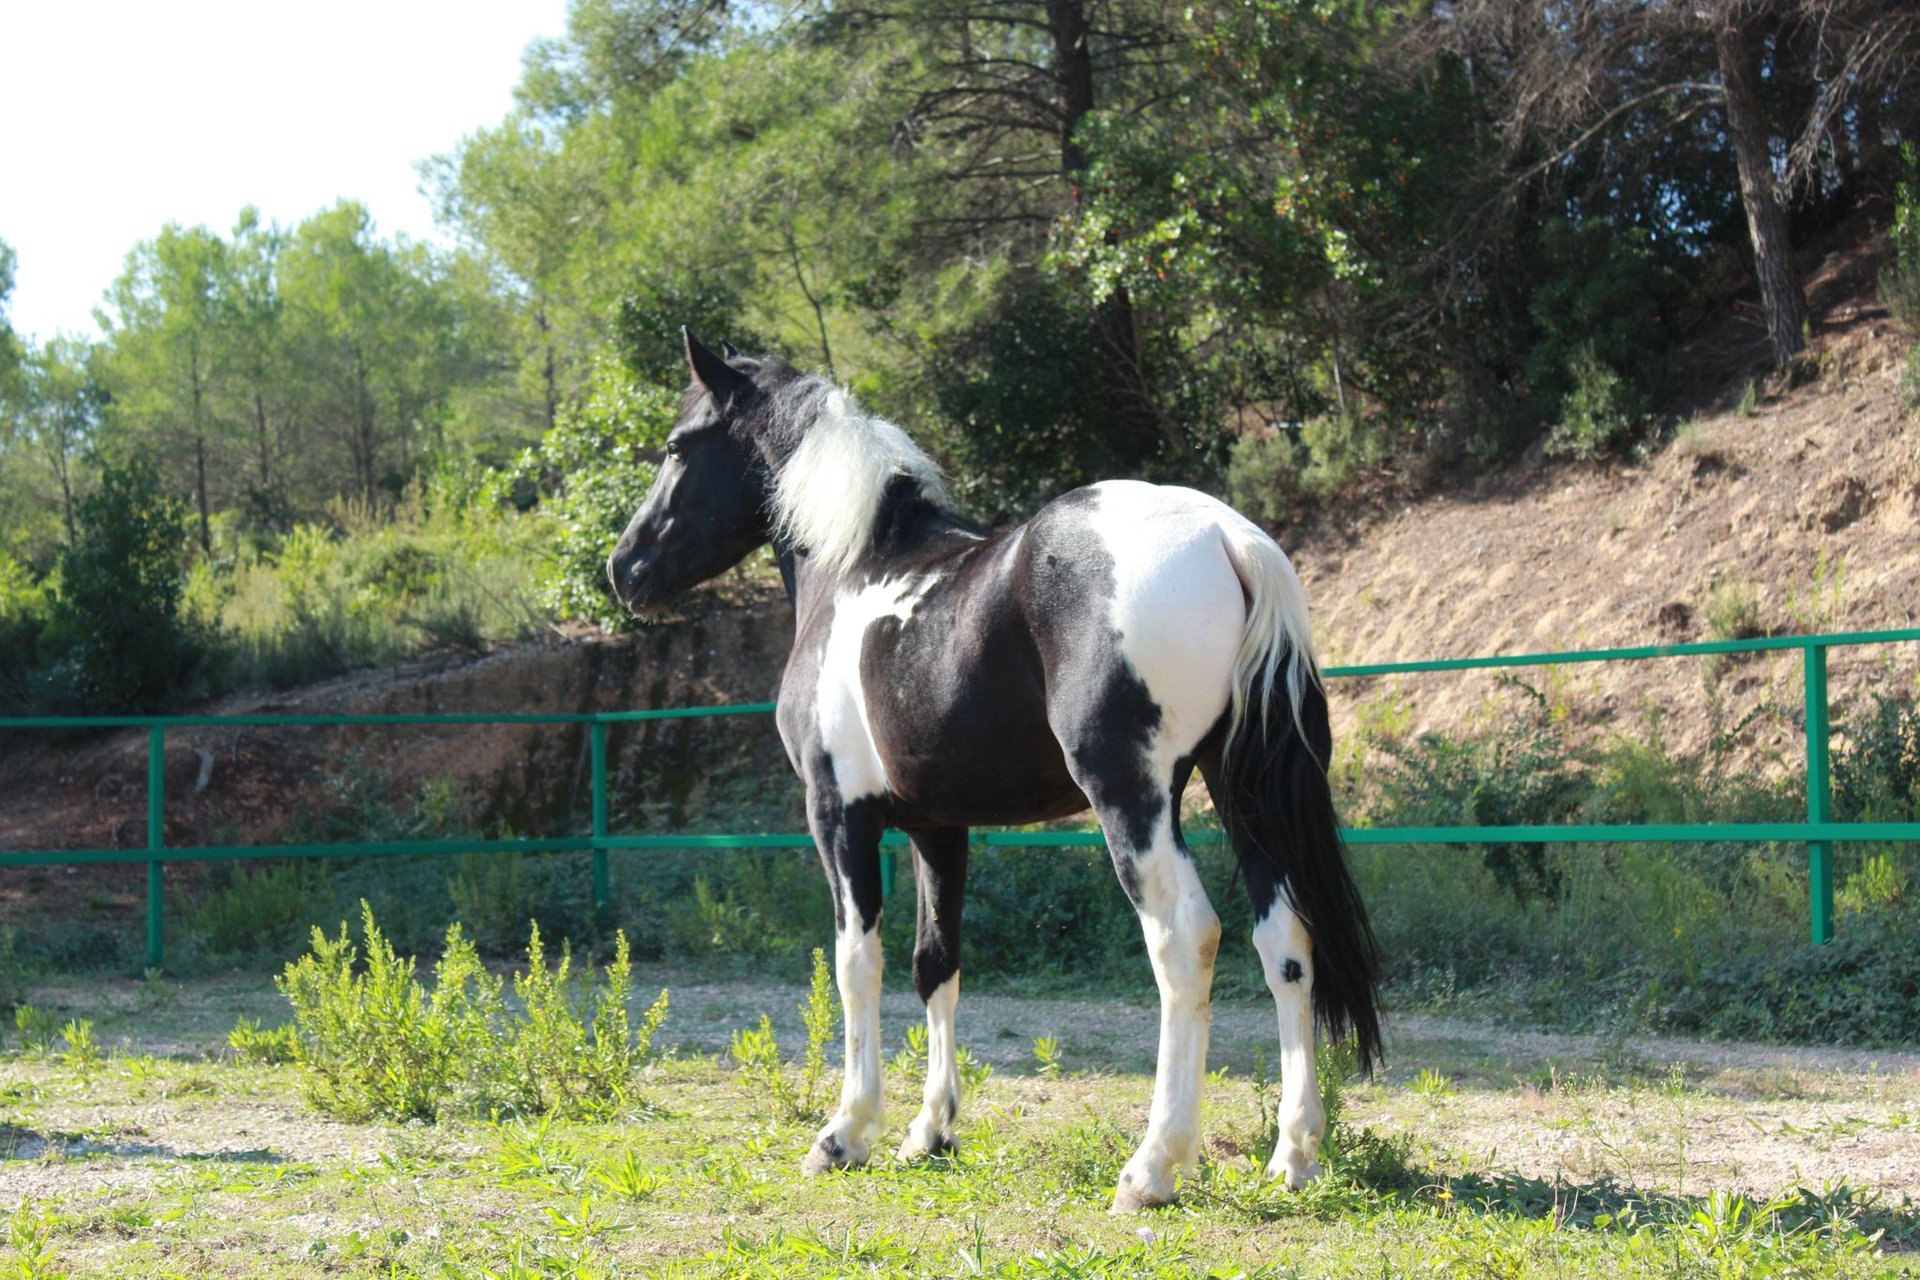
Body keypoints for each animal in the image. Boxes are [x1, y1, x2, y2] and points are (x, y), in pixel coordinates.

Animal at [607, 332, 1381, 1211]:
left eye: (677, 446)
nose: (624, 569)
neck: (856, 568)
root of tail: (1225, 535)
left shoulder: (839, 814)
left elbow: (856, 963)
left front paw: (845, 1133)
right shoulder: (939, 827)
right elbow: (935, 964)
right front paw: (928, 1132)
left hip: (1134, 800)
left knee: (1185, 940)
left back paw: (1150, 1167)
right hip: (1239, 792)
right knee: (1284, 940)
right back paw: (1293, 1157)